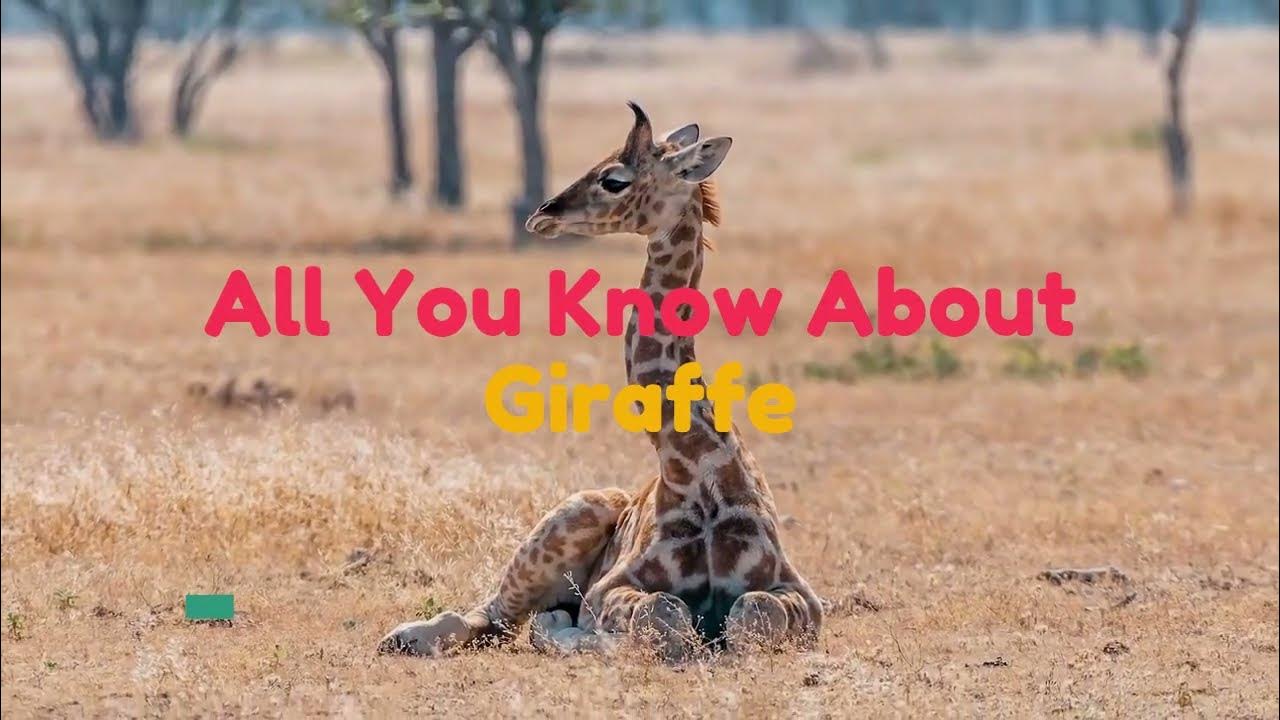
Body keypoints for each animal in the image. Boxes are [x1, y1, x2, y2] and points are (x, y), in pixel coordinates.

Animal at [378, 103, 823, 662]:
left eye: (614, 179)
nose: (542, 214)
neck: (701, 475)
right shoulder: (608, 590)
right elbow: (666, 616)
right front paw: (585, 636)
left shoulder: (801, 596)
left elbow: (749, 615)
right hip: (576, 512)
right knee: (491, 614)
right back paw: (402, 635)